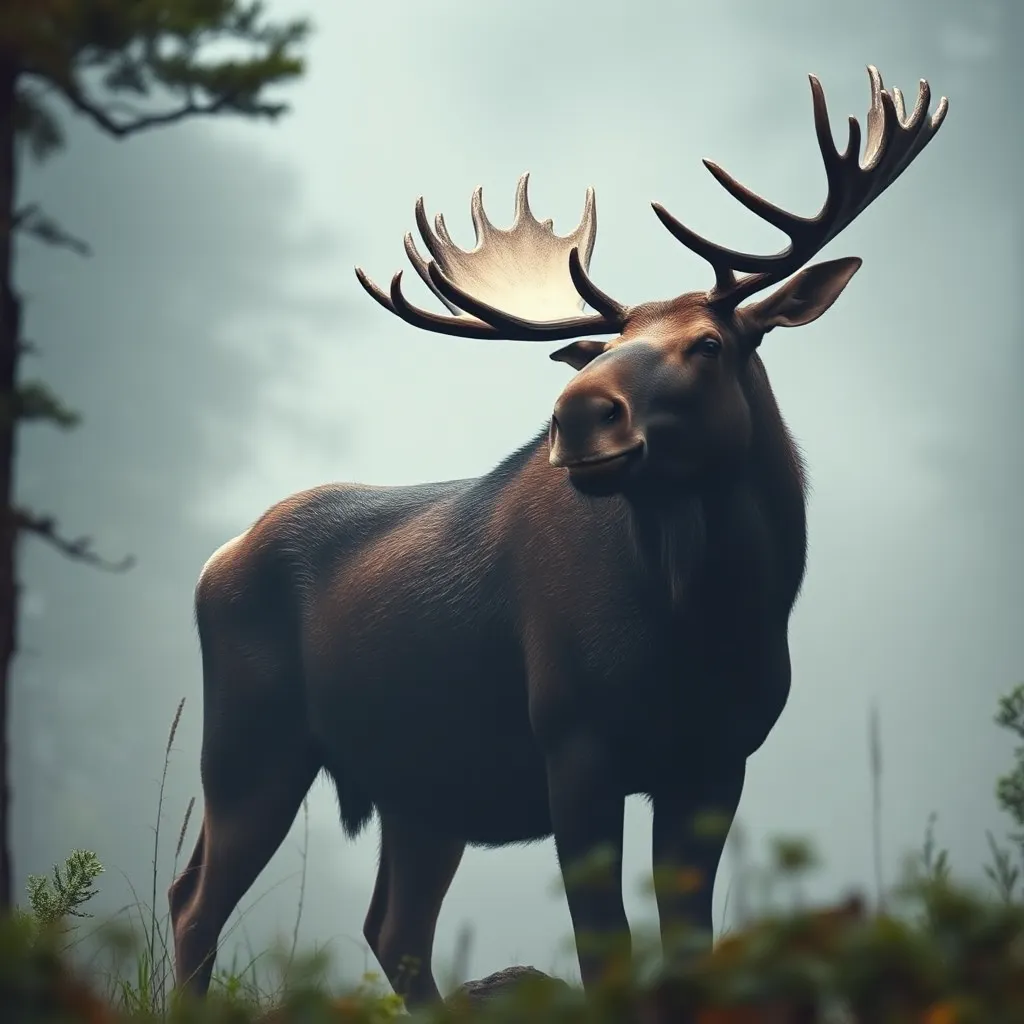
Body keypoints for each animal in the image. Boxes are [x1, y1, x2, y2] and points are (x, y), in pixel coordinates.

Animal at [169, 66, 947, 1006]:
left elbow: (689, 946)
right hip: (251, 744)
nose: (576, 414)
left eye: (710, 342)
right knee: (195, 905)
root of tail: (214, 562)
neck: (706, 626)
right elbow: (605, 947)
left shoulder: (718, 759)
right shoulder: (574, 744)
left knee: (393, 928)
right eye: (604, 347)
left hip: (424, 784)